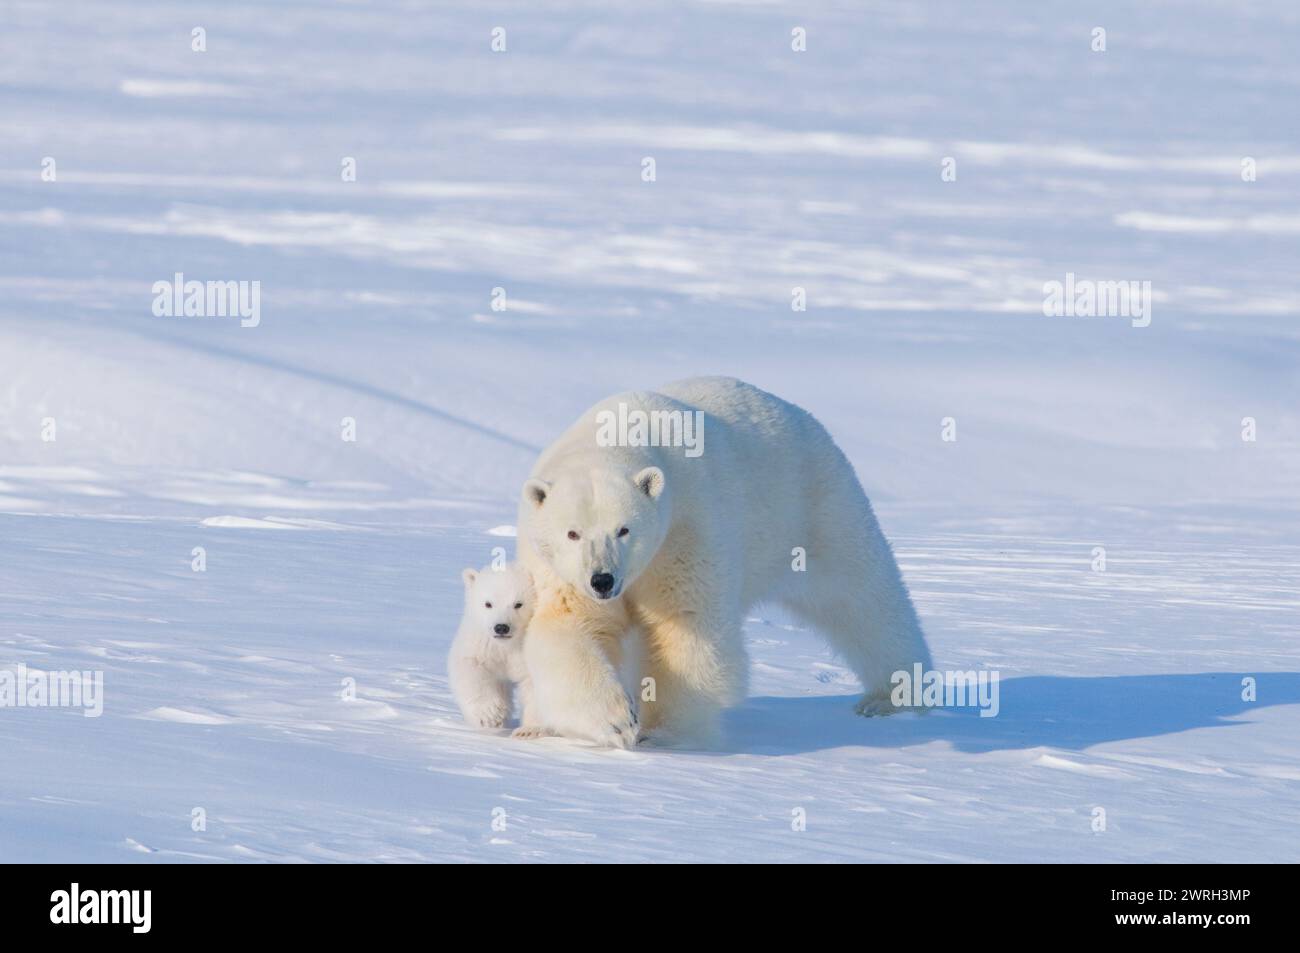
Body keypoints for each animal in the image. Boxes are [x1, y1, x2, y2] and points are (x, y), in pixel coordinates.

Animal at [447, 563, 544, 733]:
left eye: (518, 604)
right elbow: (470, 667)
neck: (508, 645)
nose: (501, 628)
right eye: (488, 604)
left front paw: (529, 730)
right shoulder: (483, 644)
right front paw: (490, 715)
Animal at [516, 376, 932, 749]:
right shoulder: (558, 571)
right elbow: (569, 625)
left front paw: (664, 732)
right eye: (572, 533)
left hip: (813, 507)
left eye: (624, 529)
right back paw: (533, 727)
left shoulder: (686, 529)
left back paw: (893, 695)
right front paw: (616, 721)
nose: (602, 580)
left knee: (861, 597)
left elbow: (686, 628)